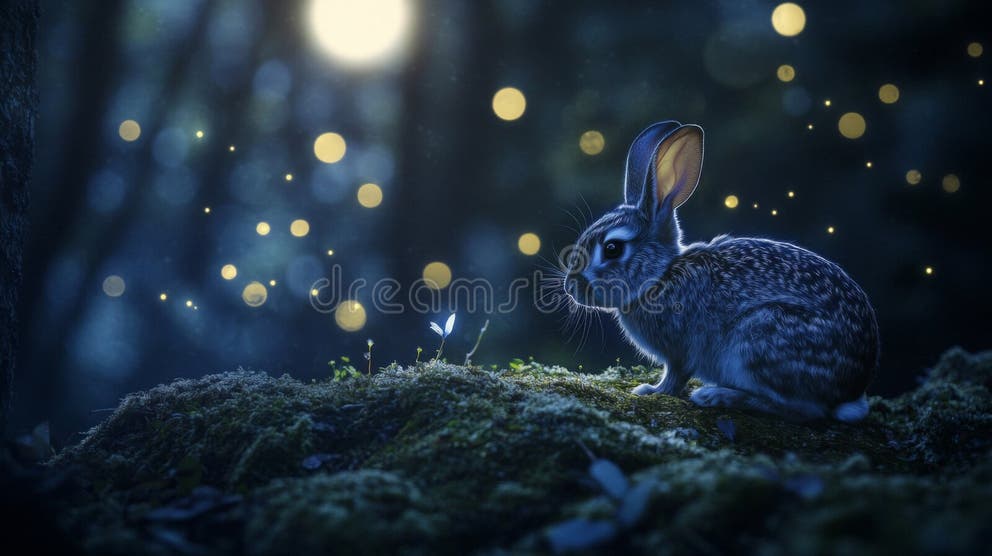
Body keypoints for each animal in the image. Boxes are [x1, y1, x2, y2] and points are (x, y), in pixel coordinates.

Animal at [563, 121, 879, 422]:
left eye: (612, 248)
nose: (570, 286)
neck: (661, 277)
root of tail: (851, 386)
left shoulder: (679, 352)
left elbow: (675, 377)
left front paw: (650, 390)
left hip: (758, 338)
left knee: (804, 411)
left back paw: (717, 396)